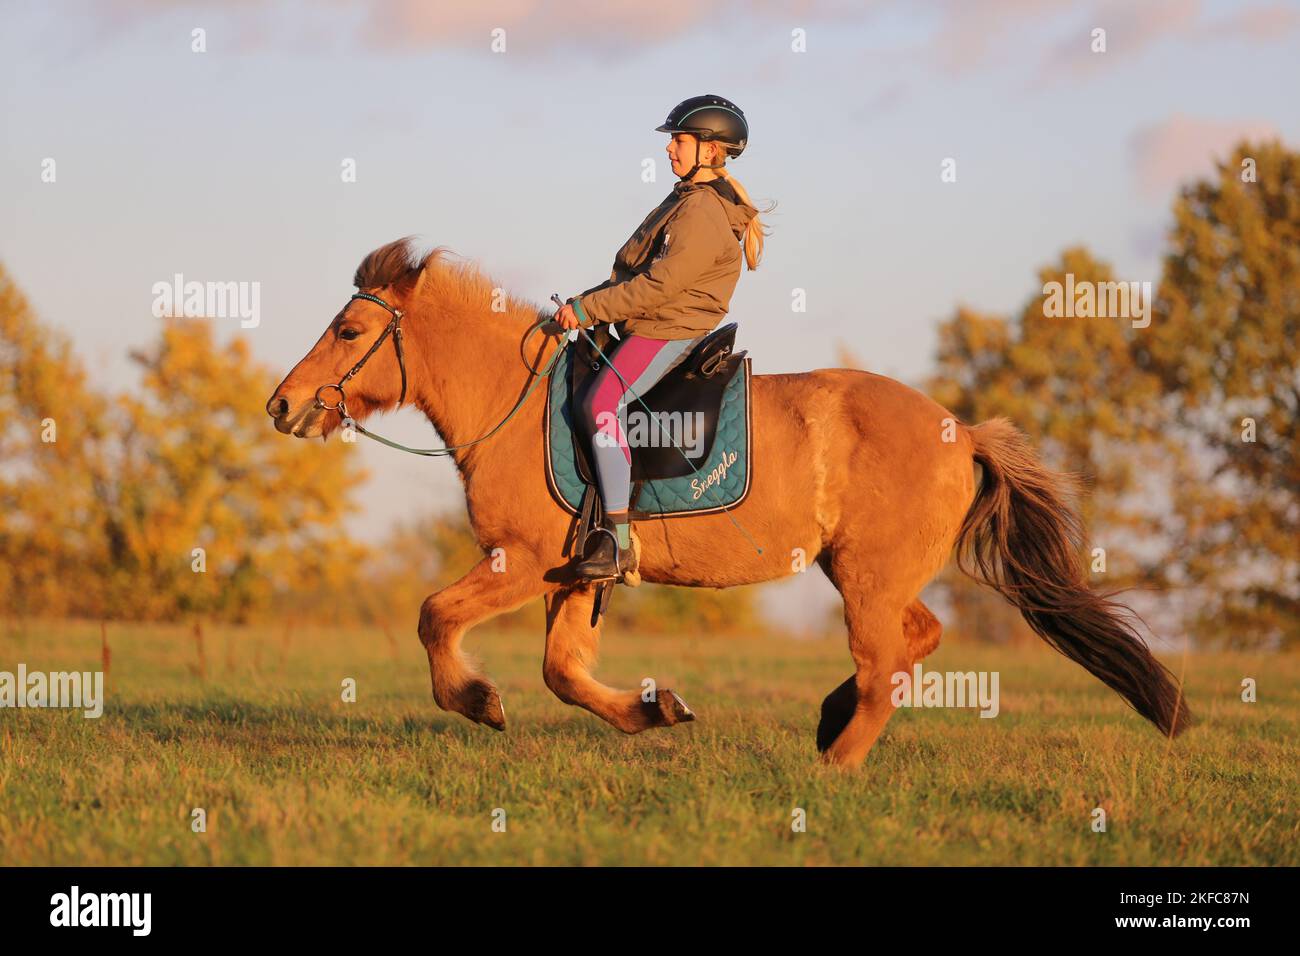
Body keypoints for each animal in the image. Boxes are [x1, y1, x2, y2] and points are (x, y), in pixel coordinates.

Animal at [265, 238, 1192, 769]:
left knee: (885, 667)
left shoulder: (522, 563)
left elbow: (434, 618)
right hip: (864, 574)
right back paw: (829, 719)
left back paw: (832, 766)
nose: (281, 405)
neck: (514, 402)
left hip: (865, 579)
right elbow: (564, 673)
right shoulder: (573, 576)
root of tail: (961, 431)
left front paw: (478, 700)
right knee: (912, 642)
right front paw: (653, 710)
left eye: (349, 333)